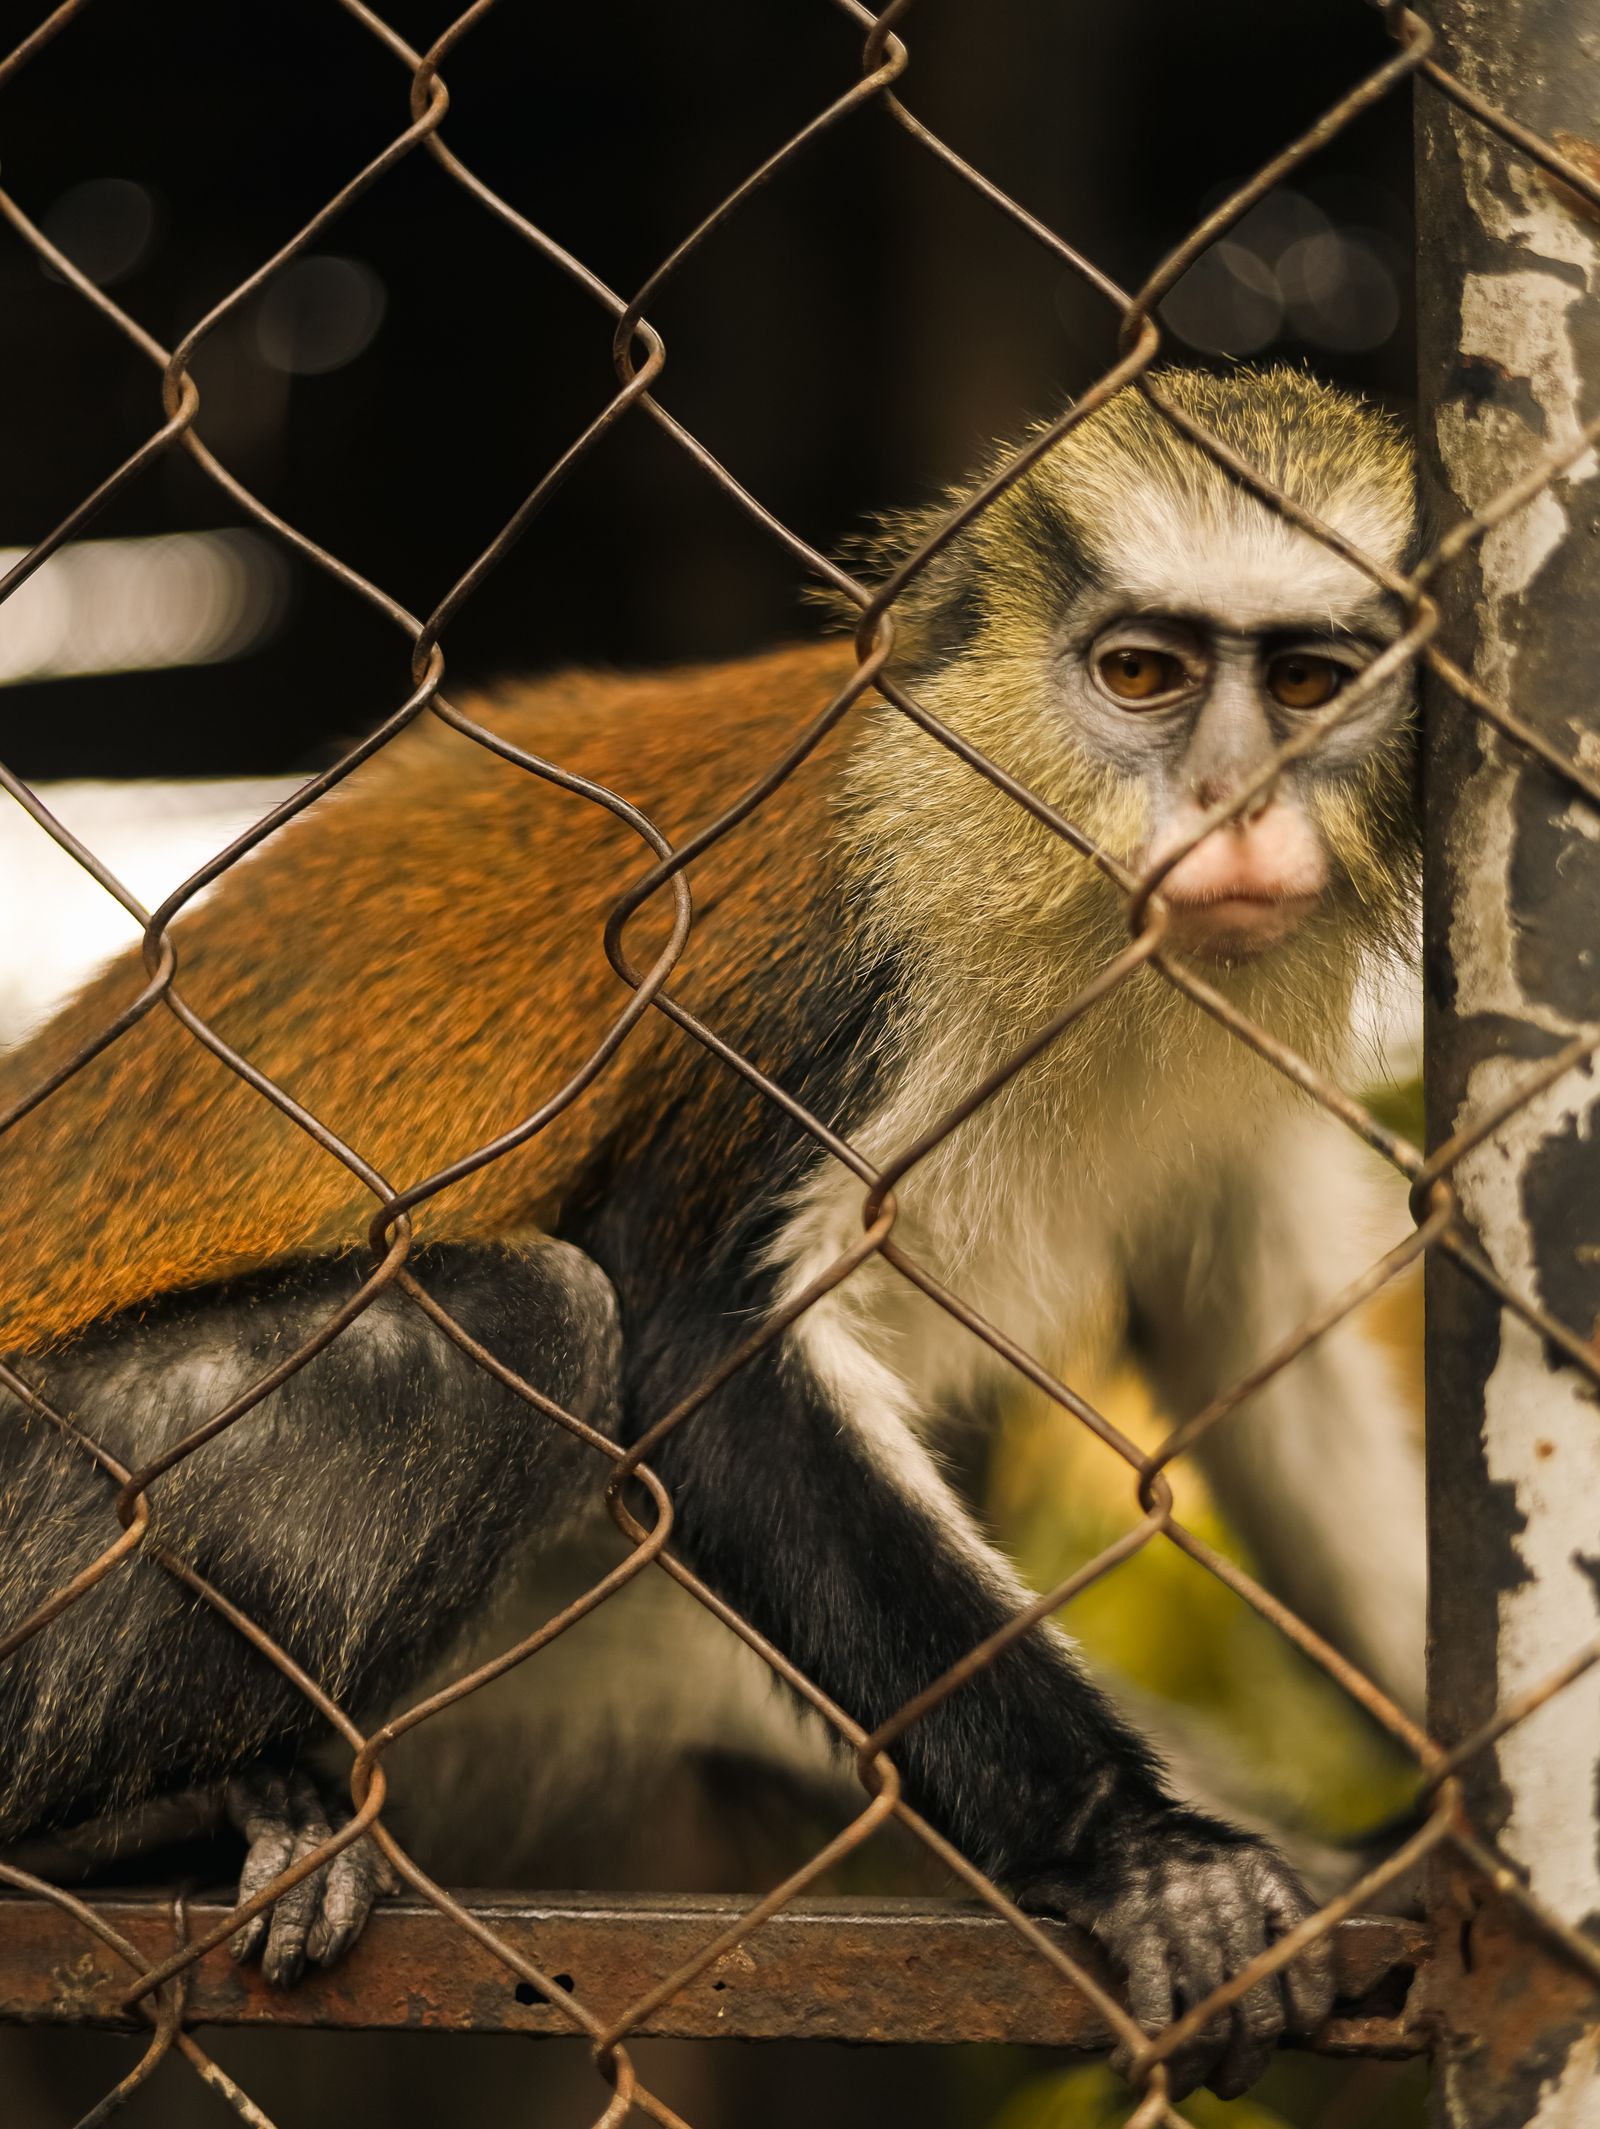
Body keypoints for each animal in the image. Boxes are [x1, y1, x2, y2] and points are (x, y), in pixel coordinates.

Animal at [0, 366, 1423, 2102]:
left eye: (1308, 682)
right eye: (1140, 673)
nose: (1236, 805)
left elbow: (1268, 1359)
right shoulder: (847, 974)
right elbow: (699, 1344)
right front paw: (1147, 1857)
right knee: (502, 1331)